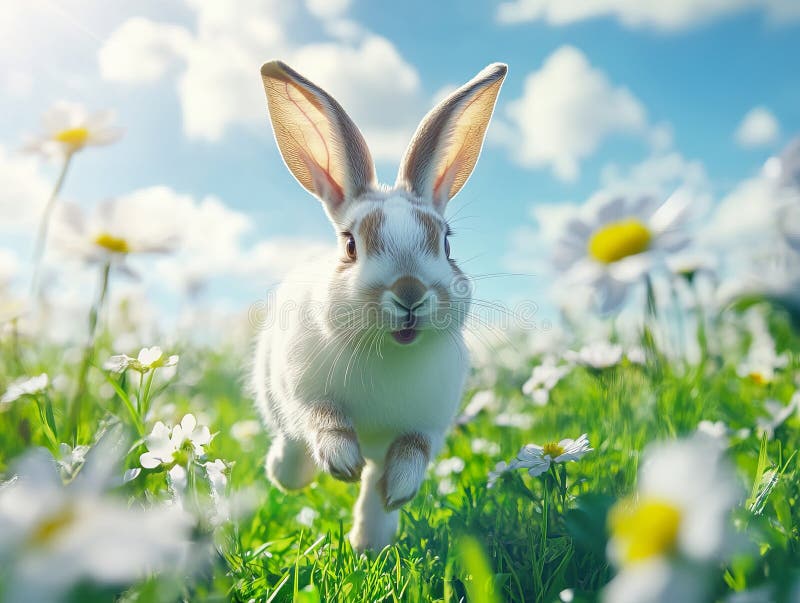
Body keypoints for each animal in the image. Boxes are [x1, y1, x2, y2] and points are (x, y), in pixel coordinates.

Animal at [252, 59, 507, 552]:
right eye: (351, 245)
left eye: (446, 244)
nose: (410, 293)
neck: (390, 349)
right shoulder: (307, 394)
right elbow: (325, 422)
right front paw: (342, 465)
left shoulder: (427, 426)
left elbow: (412, 454)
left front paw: (399, 491)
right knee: (292, 447)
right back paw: (289, 472)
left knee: (372, 486)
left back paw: (370, 540)